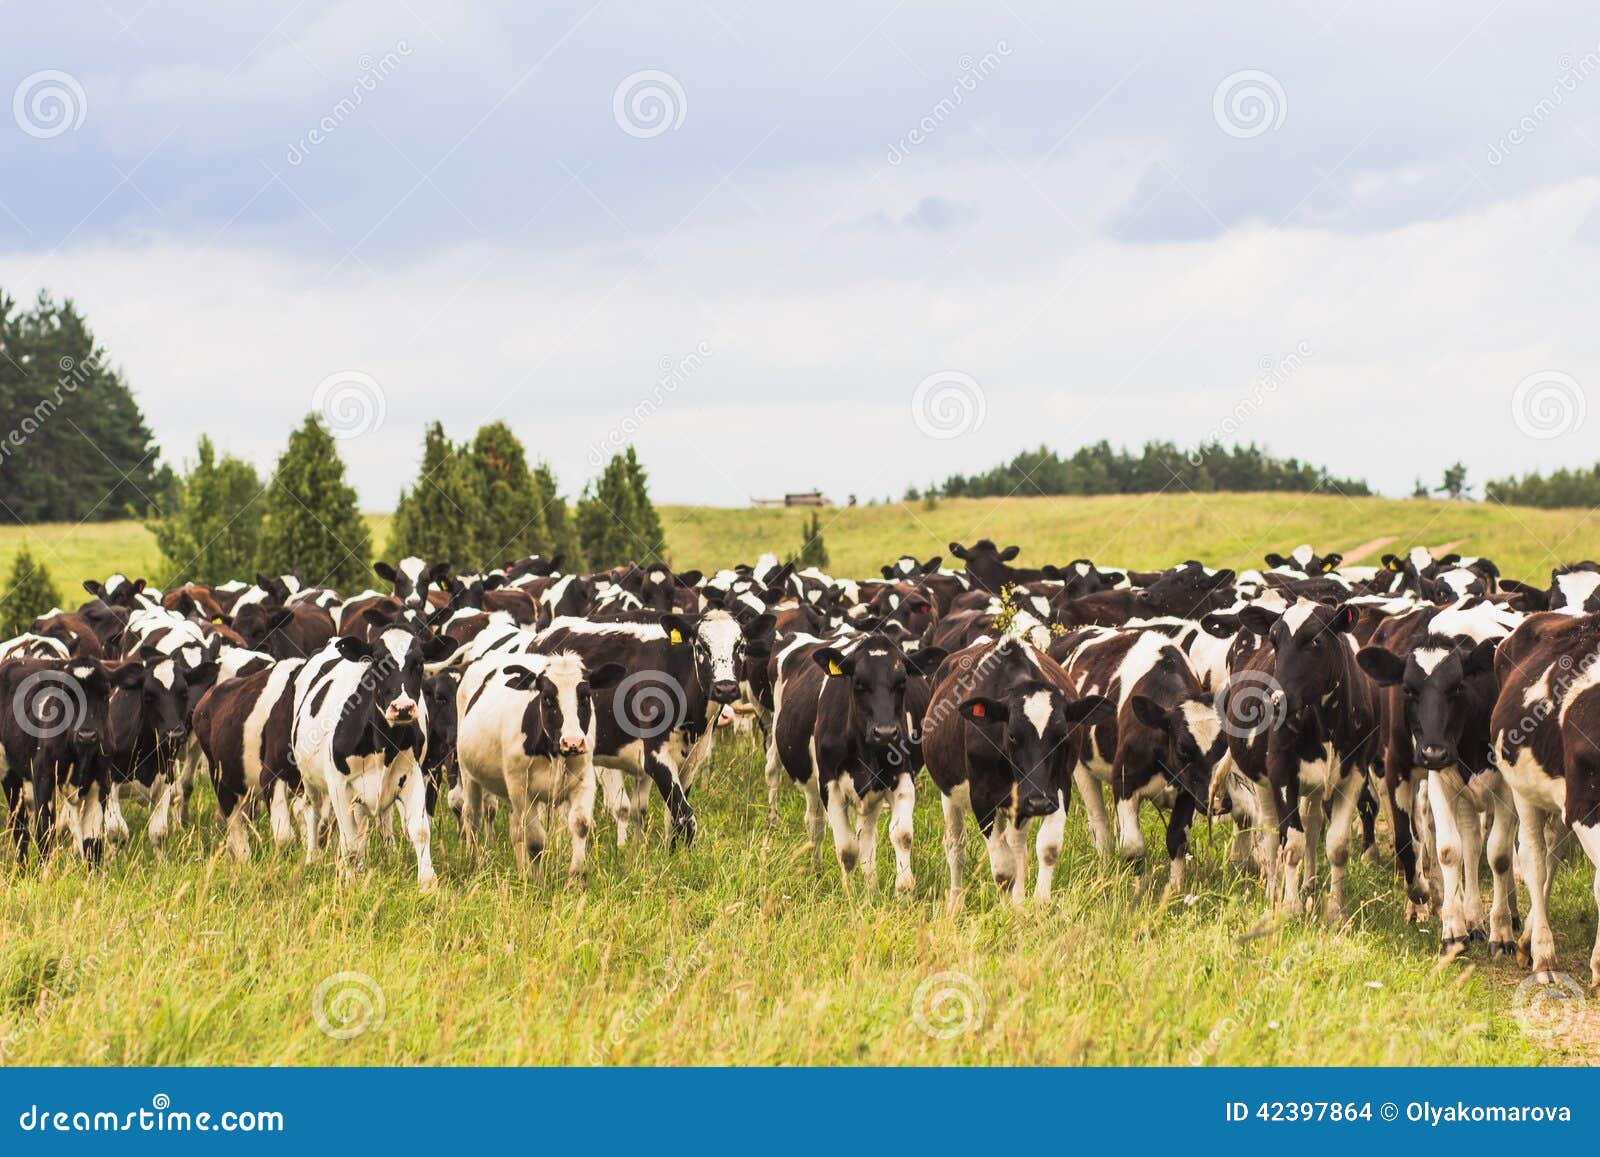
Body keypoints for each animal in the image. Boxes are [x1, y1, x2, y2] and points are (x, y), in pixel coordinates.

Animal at [455, 652, 625, 883]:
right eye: (547, 698)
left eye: (585, 697)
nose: (572, 742)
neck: (553, 753)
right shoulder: (520, 788)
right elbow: (536, 840)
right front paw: (537, 880)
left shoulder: (584, 781)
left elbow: (580, 825)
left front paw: (576, 878)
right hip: (468, 773)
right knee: (472, 816)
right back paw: (474, 861)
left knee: (516, 829)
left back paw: (521, 870)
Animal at [922, 634, 1111, 909]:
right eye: (1012, 735)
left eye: (1061, 736)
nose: (1038, 802)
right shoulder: (983, 797)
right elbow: (1002, 868)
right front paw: (1004, 911)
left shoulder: (1059, 788)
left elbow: (1048, 848)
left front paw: (1039, 903)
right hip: (950, 794)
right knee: (956, 846)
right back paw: (955, 904)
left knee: (1016, 845)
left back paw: (1019, 901)